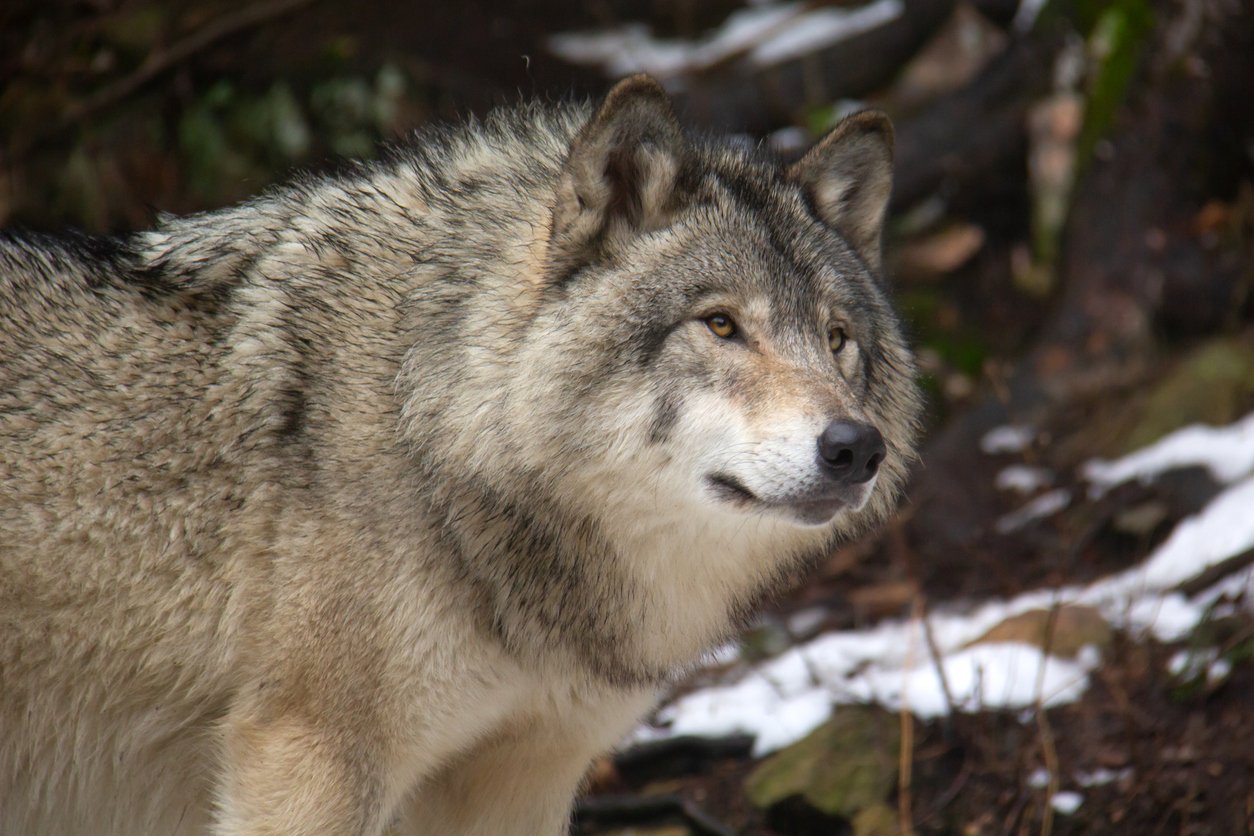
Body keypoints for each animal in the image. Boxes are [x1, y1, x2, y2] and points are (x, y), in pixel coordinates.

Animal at [0, 74, 921, 834]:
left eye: (837, 340)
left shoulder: (518, 780)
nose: (856, 448)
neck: (436, 437)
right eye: (721, 324)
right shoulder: (309, 759)